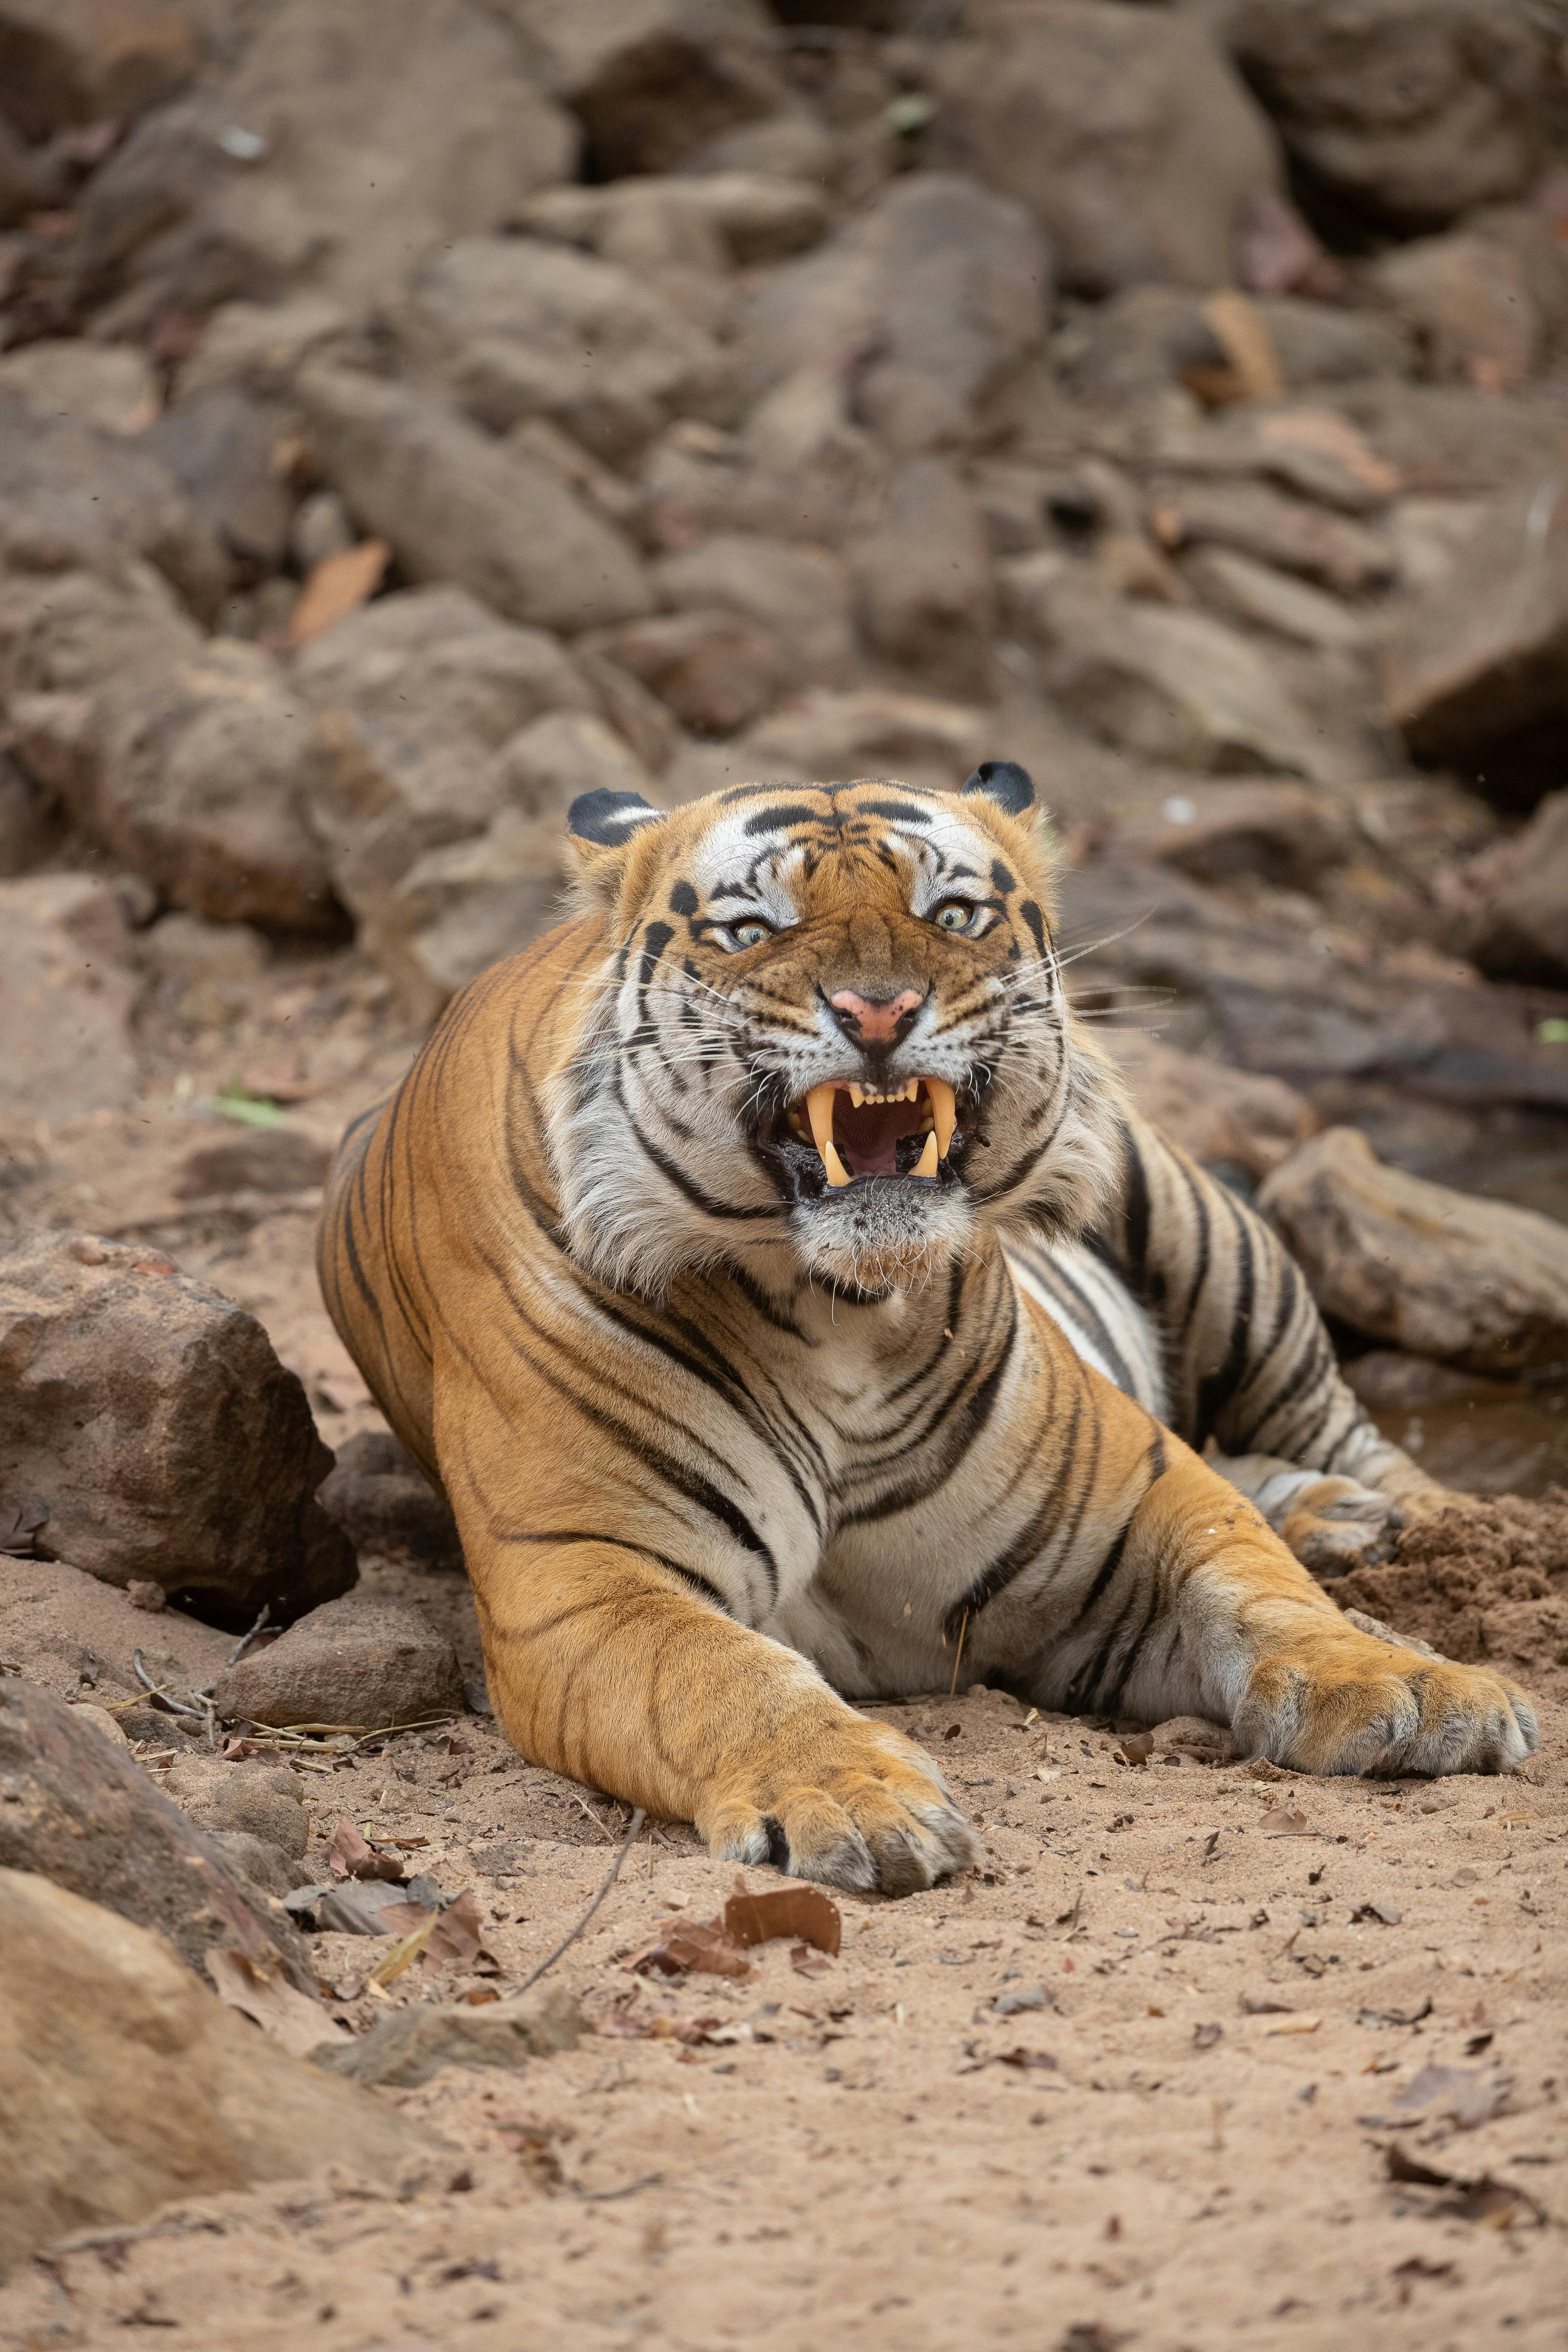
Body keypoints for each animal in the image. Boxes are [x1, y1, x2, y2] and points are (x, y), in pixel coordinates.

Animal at [318, 764, 1537, 1896]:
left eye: (952, 913)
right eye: (753, 929)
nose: (877, 1012)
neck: (841, 1315)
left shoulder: (1140, 1491)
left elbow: (1261, 1586)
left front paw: (1411, 1685)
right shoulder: (581, 1571)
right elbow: (718, 1673)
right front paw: (852, 1797)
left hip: (1208, 1236)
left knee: (1341, 1428)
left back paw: (1437, 1529)